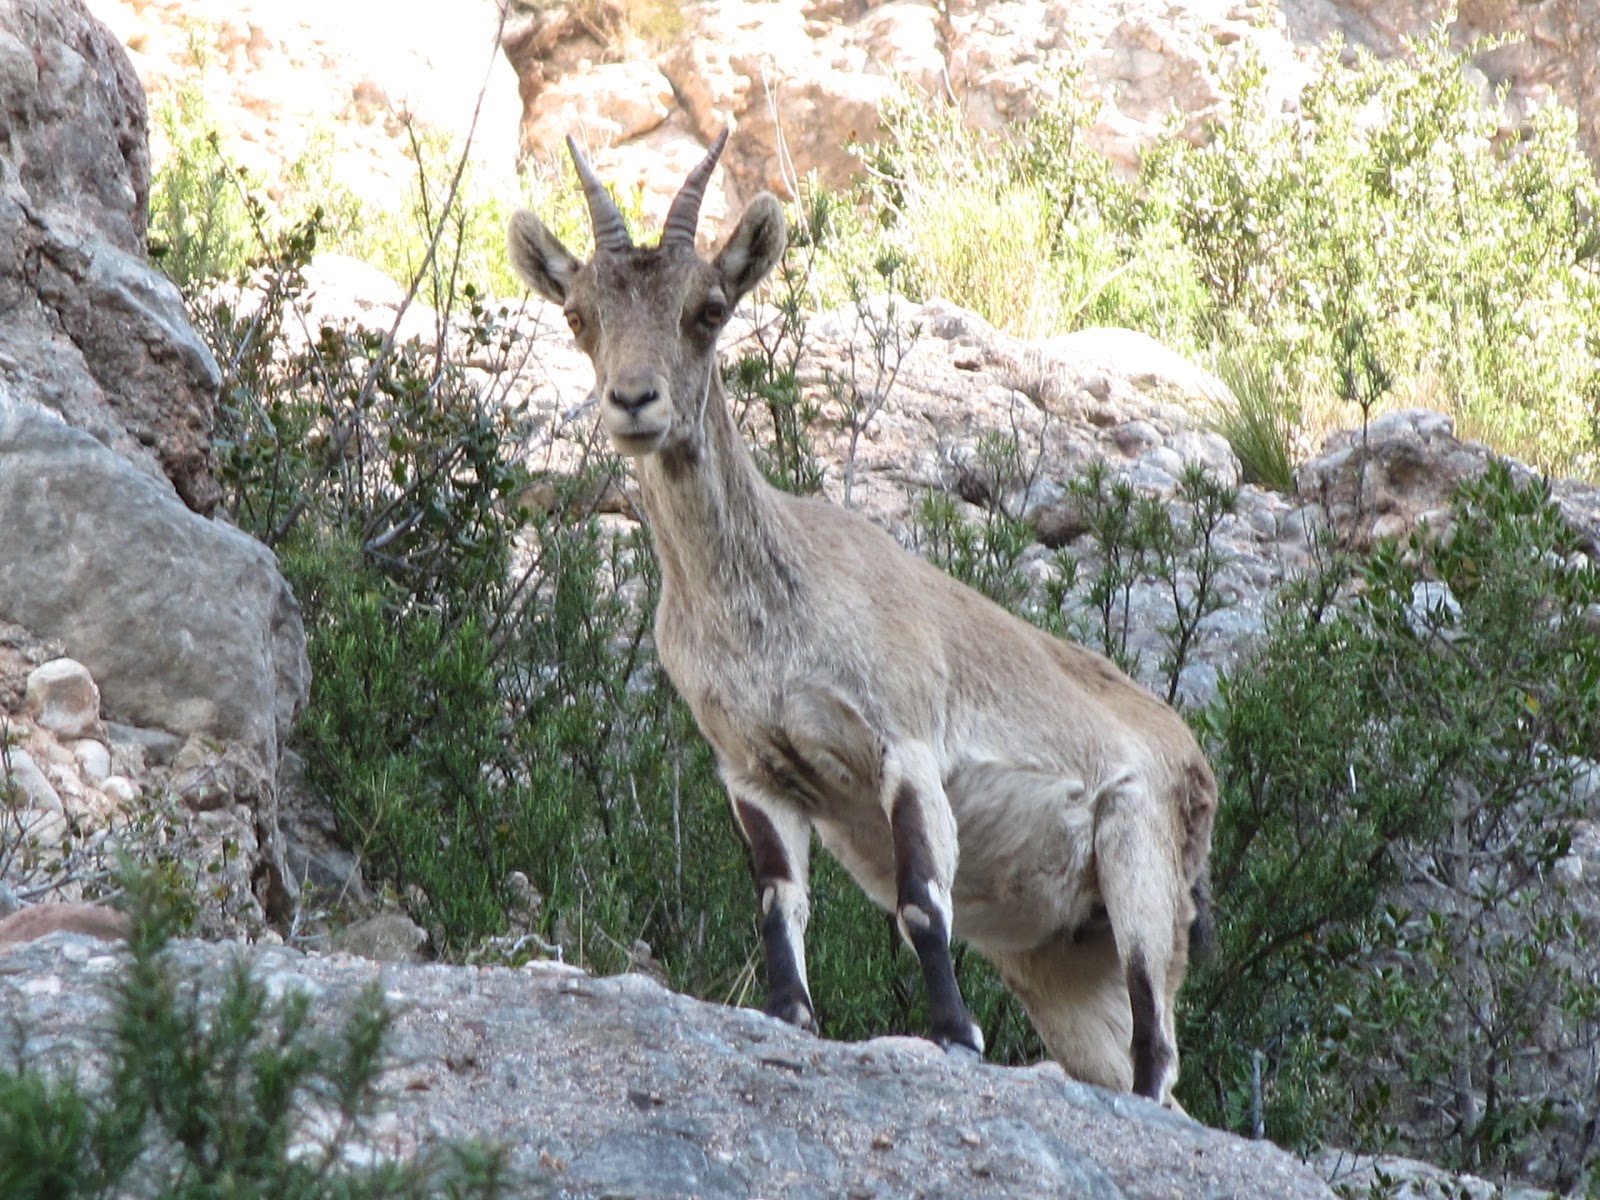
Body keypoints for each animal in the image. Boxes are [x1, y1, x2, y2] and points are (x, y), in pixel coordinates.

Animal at [506, 131, 1216, 1105]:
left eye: (709, 309)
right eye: (579, 315)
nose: (635, 401)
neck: (772, 615)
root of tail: (1192, 753)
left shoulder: (903, 742)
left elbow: (920, 895)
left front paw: (955, 1032)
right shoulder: (752, 770)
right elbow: (779, 899)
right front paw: (791, 1017)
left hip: (1141, 862)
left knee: (1157, 1048)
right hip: (1061, 959)